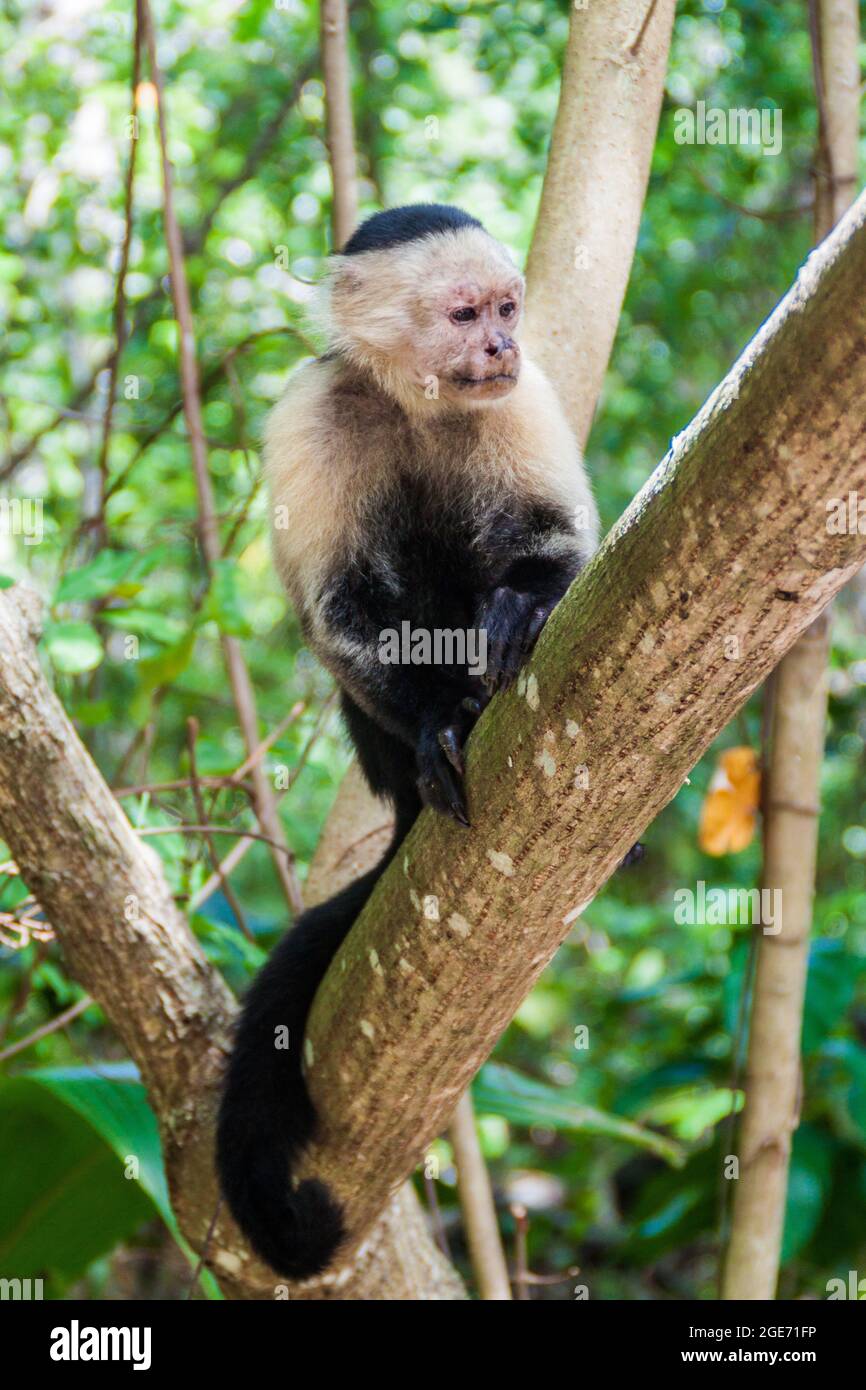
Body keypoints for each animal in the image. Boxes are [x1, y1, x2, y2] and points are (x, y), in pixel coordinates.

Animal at [216, 204, 600, 1280]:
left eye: (509, 308)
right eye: (465, 314)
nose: (503, 344)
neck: (417, 404)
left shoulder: (523, 402)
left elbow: (560, 546)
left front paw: (522, 607)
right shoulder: (310, 415)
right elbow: (338, 613)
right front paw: (440, 717)